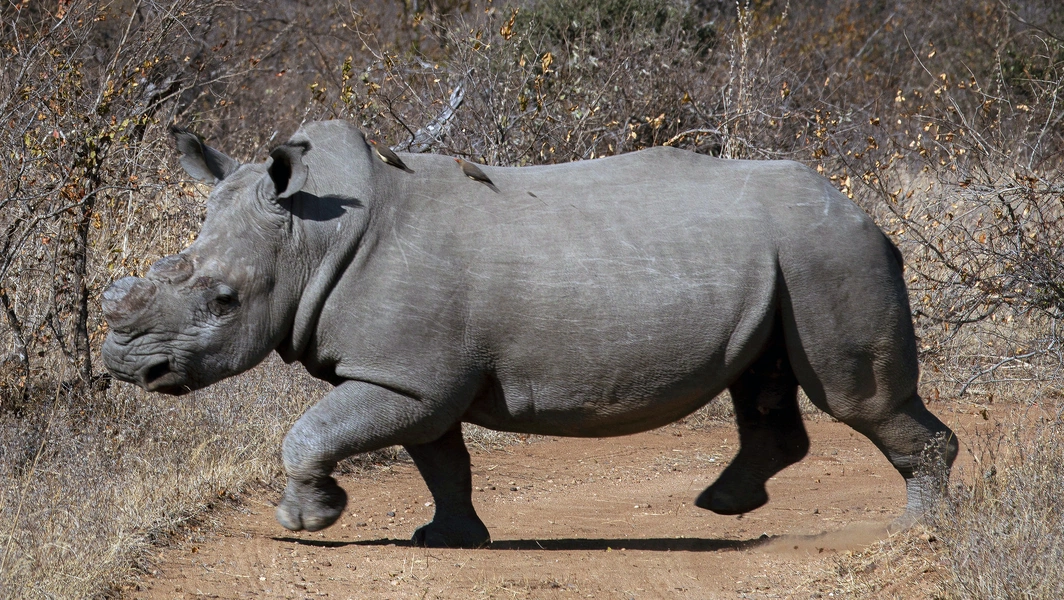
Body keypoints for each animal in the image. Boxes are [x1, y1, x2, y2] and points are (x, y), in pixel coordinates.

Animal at [102, 121, 957, 548]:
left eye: (222, 300)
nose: (122, 365)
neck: (310, 238)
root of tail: (867, 214)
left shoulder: (401, 375)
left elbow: (311, 431)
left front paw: (308, 522)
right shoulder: (412, 376)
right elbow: (441, 459)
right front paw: (447, 540)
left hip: (828, 253)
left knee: (855, 398)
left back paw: (913, 529)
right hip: (792, 259)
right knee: (765, 380)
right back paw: (723, 507)